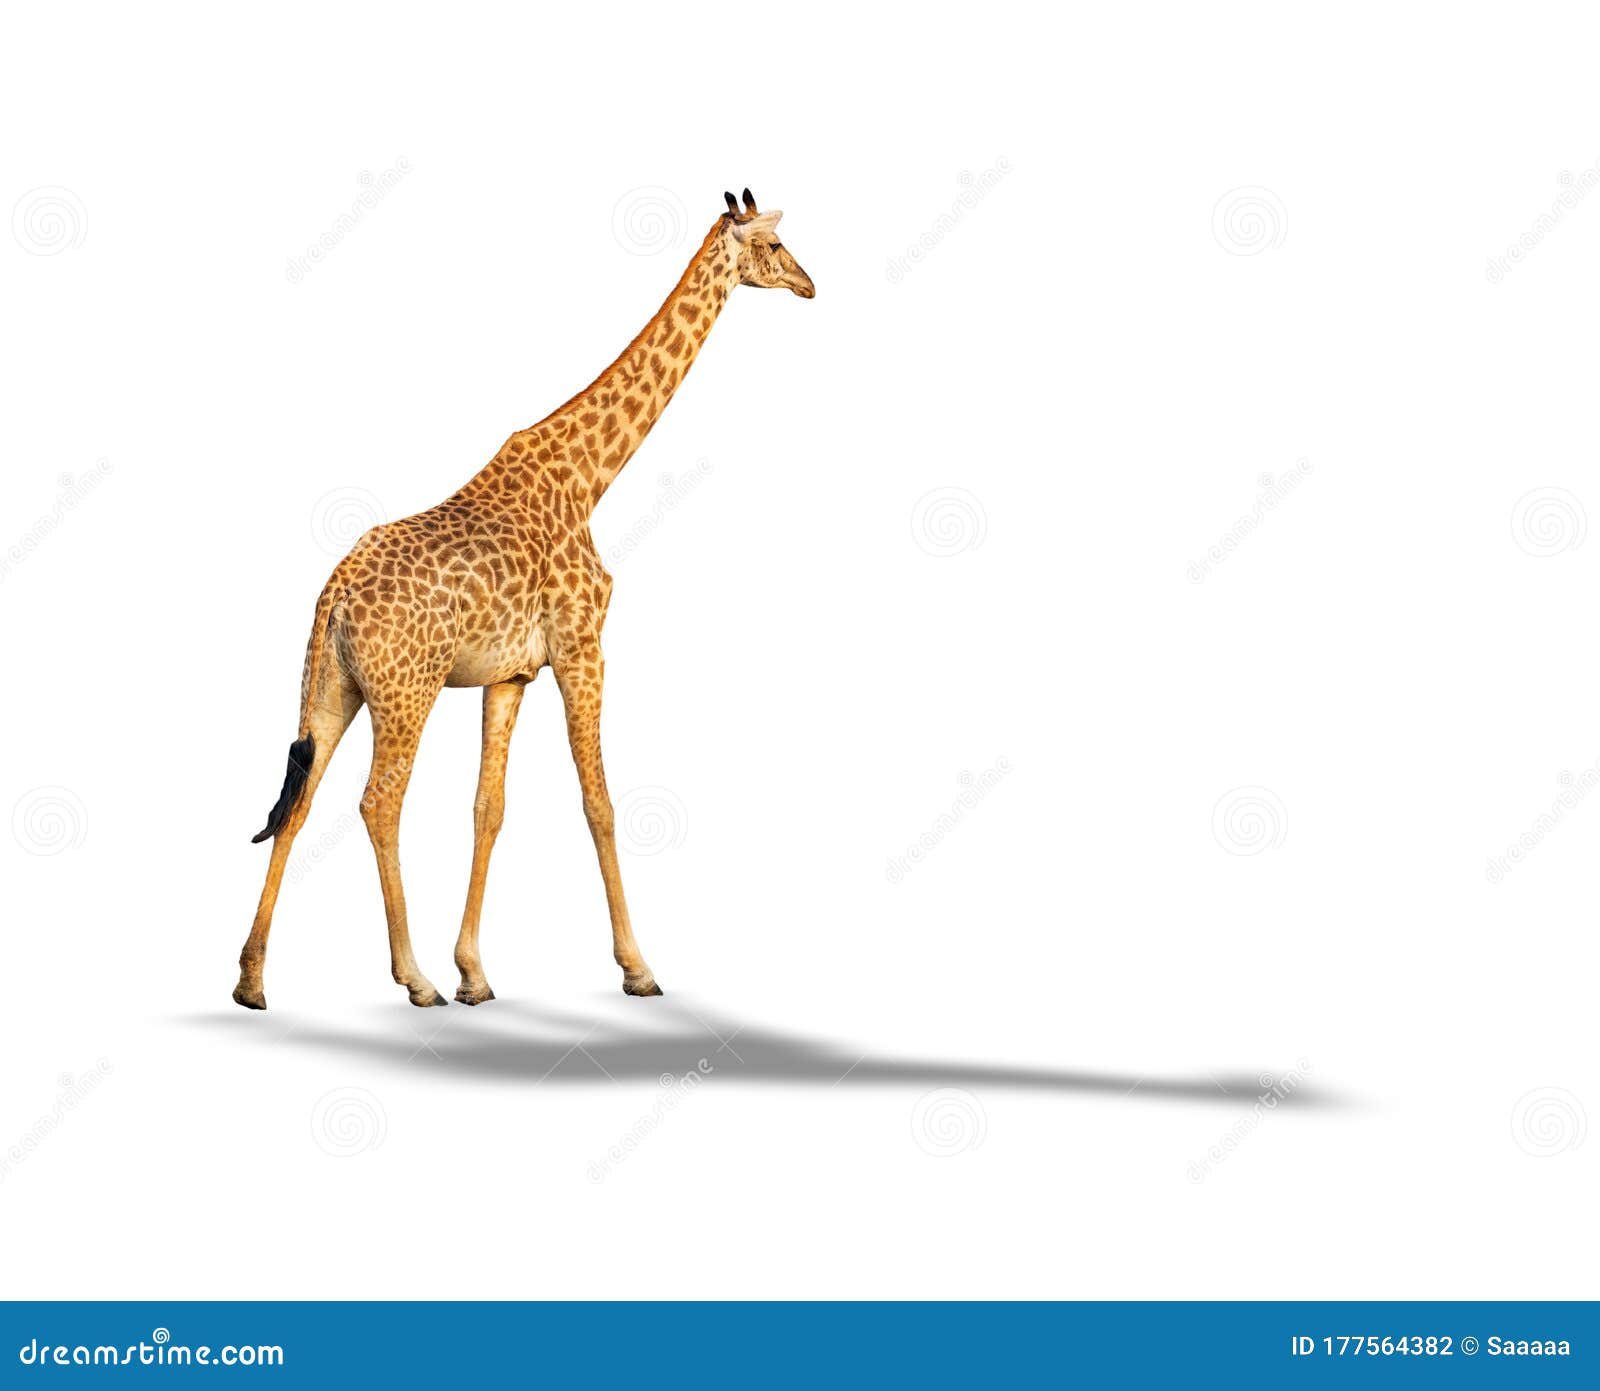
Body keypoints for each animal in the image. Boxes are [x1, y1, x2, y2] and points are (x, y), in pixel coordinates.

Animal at [235, 189, 813, 1011]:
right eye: (772, 244)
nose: (810, 285)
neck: (589, 474)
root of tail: (333, 600)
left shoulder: (508, 675)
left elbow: (489, 809)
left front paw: (475, 972)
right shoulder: (582, 648)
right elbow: (600, 802)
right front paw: (637, 967)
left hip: (331, 689)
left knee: (298, 801)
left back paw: (252, 981)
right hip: (406, 692)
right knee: (377, 803)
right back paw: (411, 978)